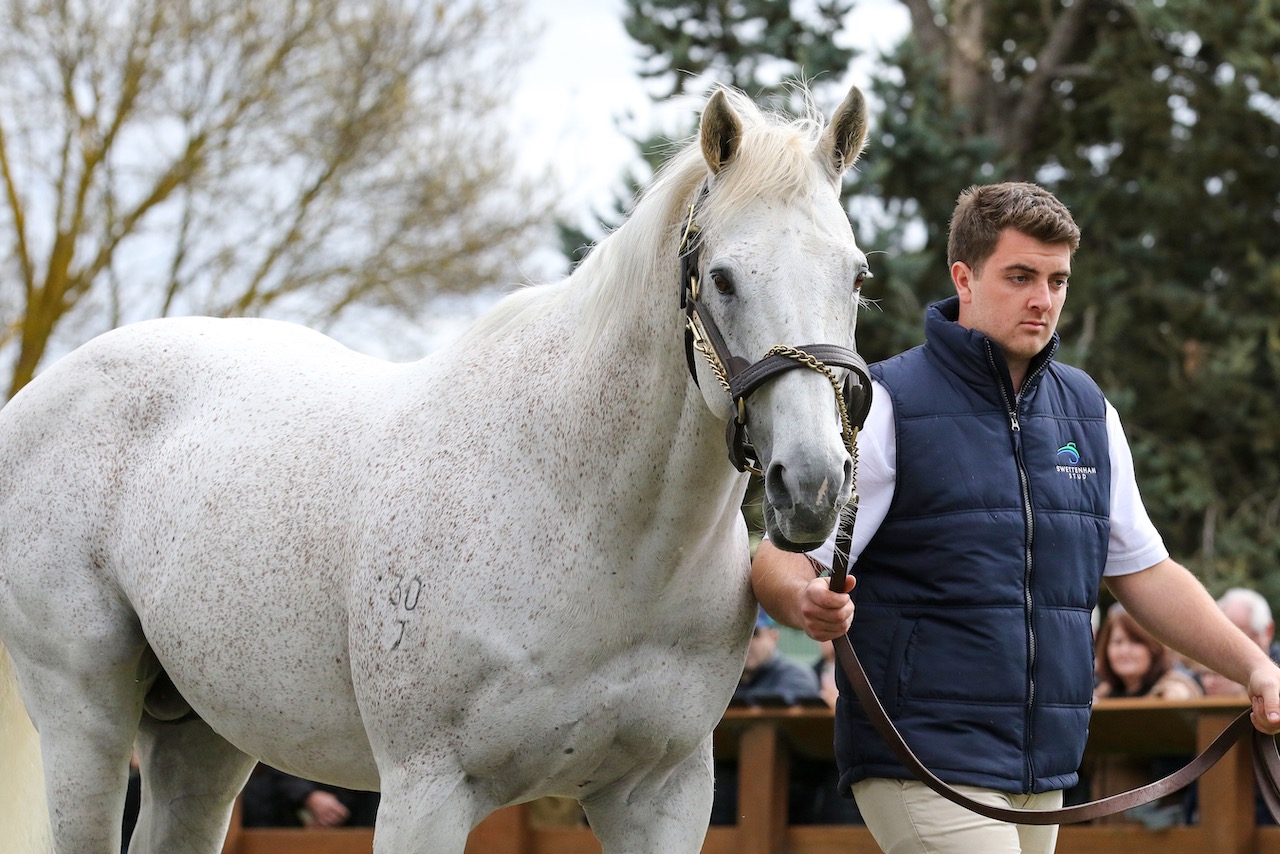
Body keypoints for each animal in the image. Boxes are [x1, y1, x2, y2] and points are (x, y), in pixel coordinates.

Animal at [0, 83, 872, 853]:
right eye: (723, 278)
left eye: (856, 275)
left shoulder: (661, 797)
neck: (591, 525)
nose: (812, 484)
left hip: (204, 734)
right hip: (85, 724)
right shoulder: (427, 792)